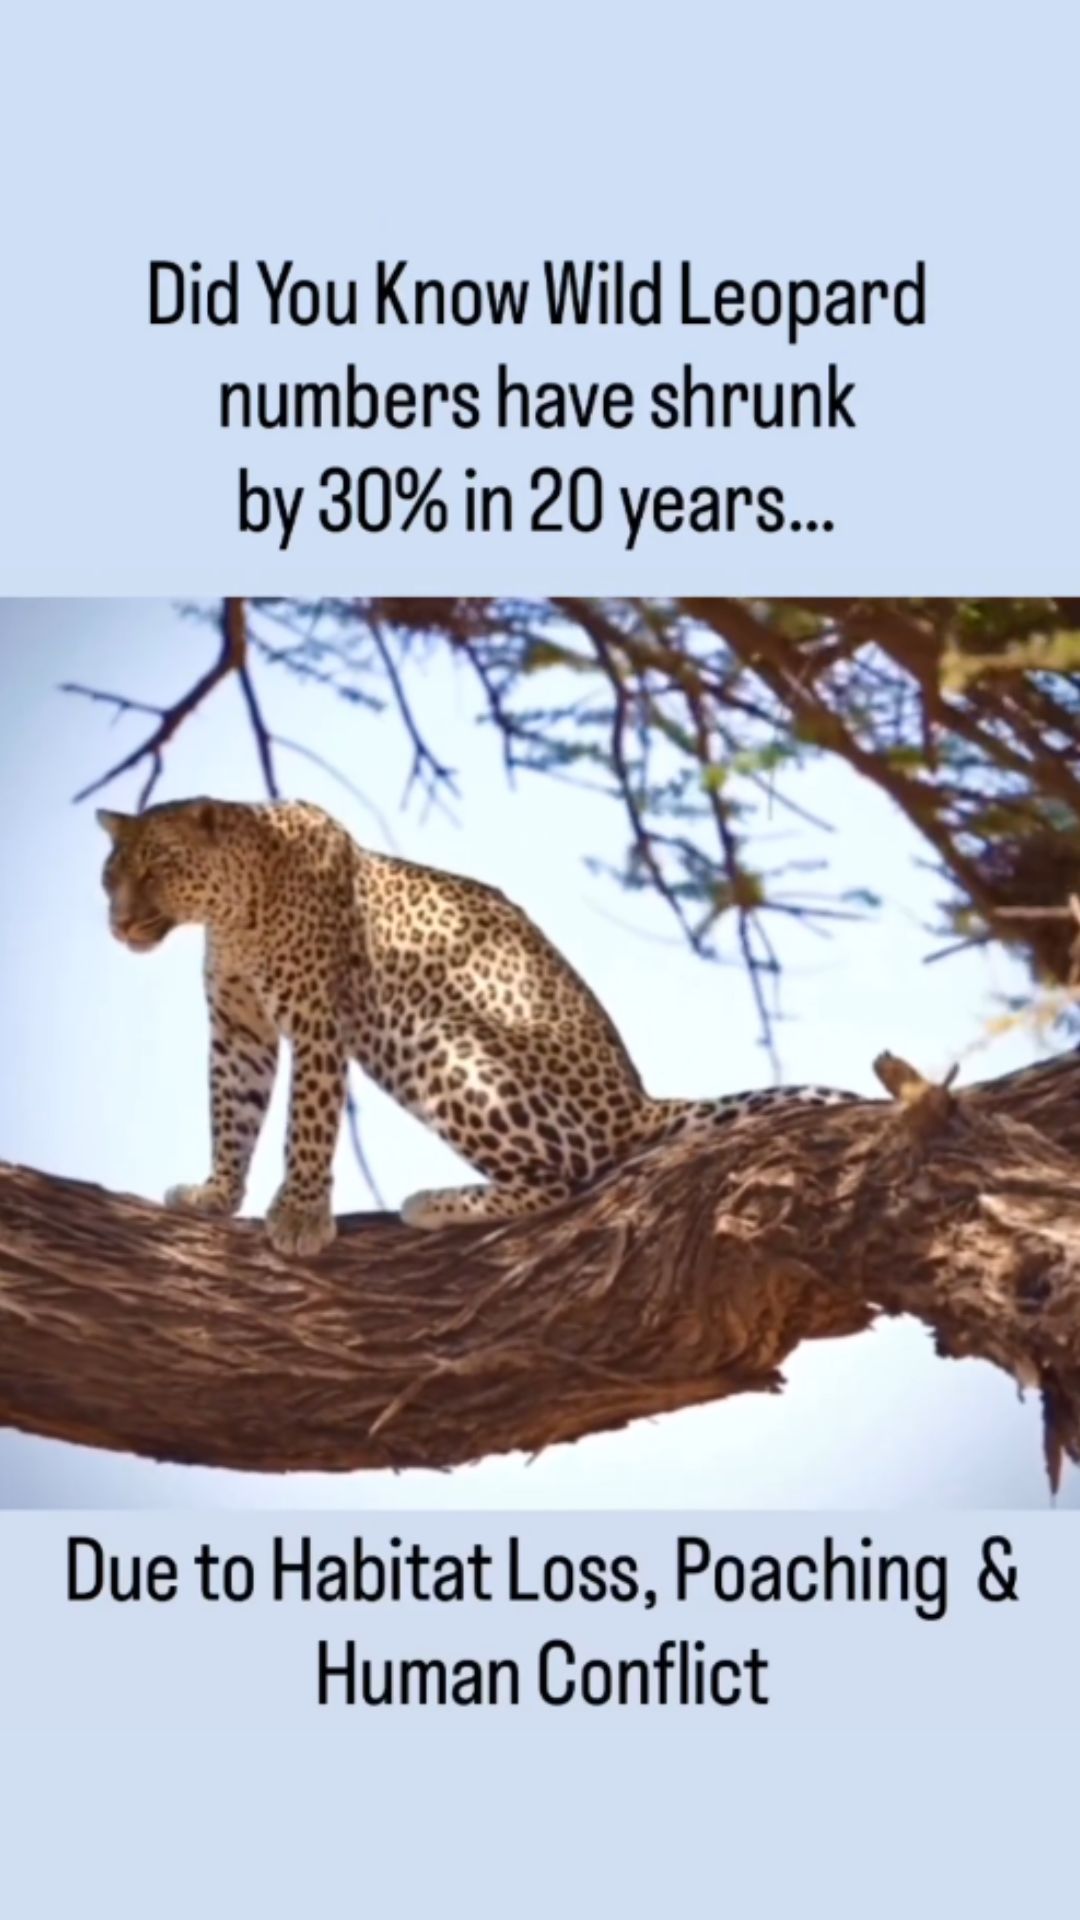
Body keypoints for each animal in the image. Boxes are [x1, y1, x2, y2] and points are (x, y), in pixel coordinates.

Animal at [97, 796, 864, 1257]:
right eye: (111, 877)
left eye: (158, 867)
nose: (116, 922)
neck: (231, 914)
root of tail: (639, 1107)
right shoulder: (238, 1027)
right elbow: (232, 1112)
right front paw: (217, 1194)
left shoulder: (316, 1022)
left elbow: (306, 1123)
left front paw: (300, 1218)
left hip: (439, 1039)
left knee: (565, 1184)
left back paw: (435, 1203)